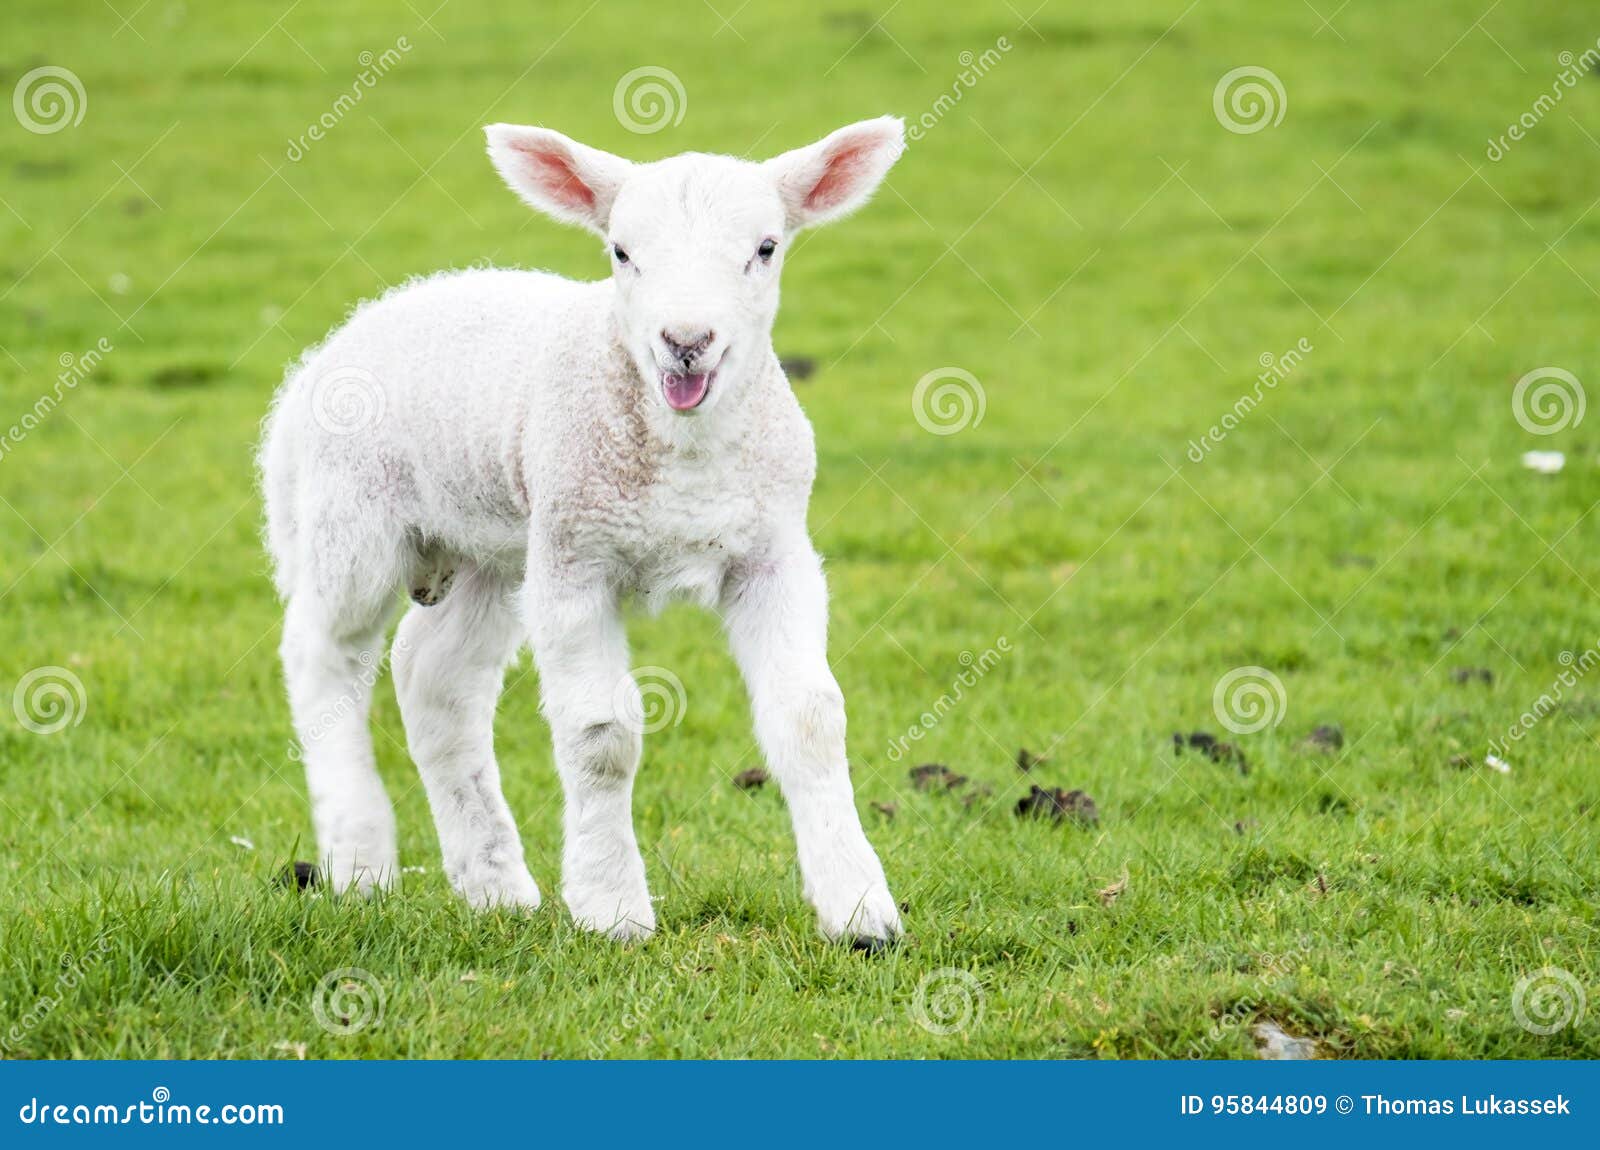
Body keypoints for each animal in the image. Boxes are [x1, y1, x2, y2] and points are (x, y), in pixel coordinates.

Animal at [258, 116, 907, 947]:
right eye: (621, 252)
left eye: (765, 247)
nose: (685, 340)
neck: (686, 453)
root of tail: (329, 349)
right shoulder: (576, 557)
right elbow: (602, 736)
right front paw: (611, 907)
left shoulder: (773, 553)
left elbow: (811, 719)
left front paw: (859, 910)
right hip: (354, 519)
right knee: (321, 656)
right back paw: (361, 859)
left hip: (491, 547)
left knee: (434, 676)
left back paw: (495, 883)